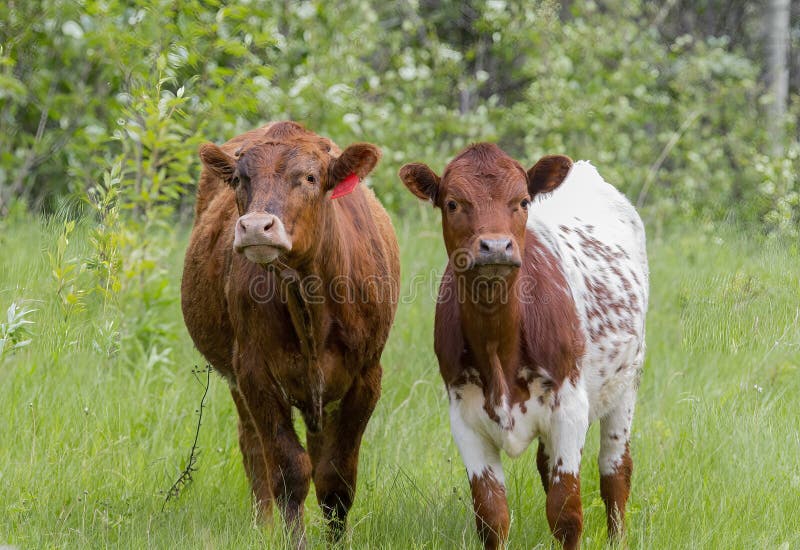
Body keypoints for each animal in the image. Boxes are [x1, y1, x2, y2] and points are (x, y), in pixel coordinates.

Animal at [181, 121, 400, 543]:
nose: (255, 227)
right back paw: (263, 524)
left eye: (310, 178)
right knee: (254, 447)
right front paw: (292, 539)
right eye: (240, 179)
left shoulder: (367, 377)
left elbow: (336, 477)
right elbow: (288, 470)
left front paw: (336, 542)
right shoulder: (254, 373)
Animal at [399, 144, 648, 549]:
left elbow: (566, 513)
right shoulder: (464, 416)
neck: (499, 343)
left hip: (627, 384)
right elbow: (491, 515)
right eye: (452, 203)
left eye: (523, 201)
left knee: (615, 471)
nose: (495, 246)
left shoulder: (569, 408)